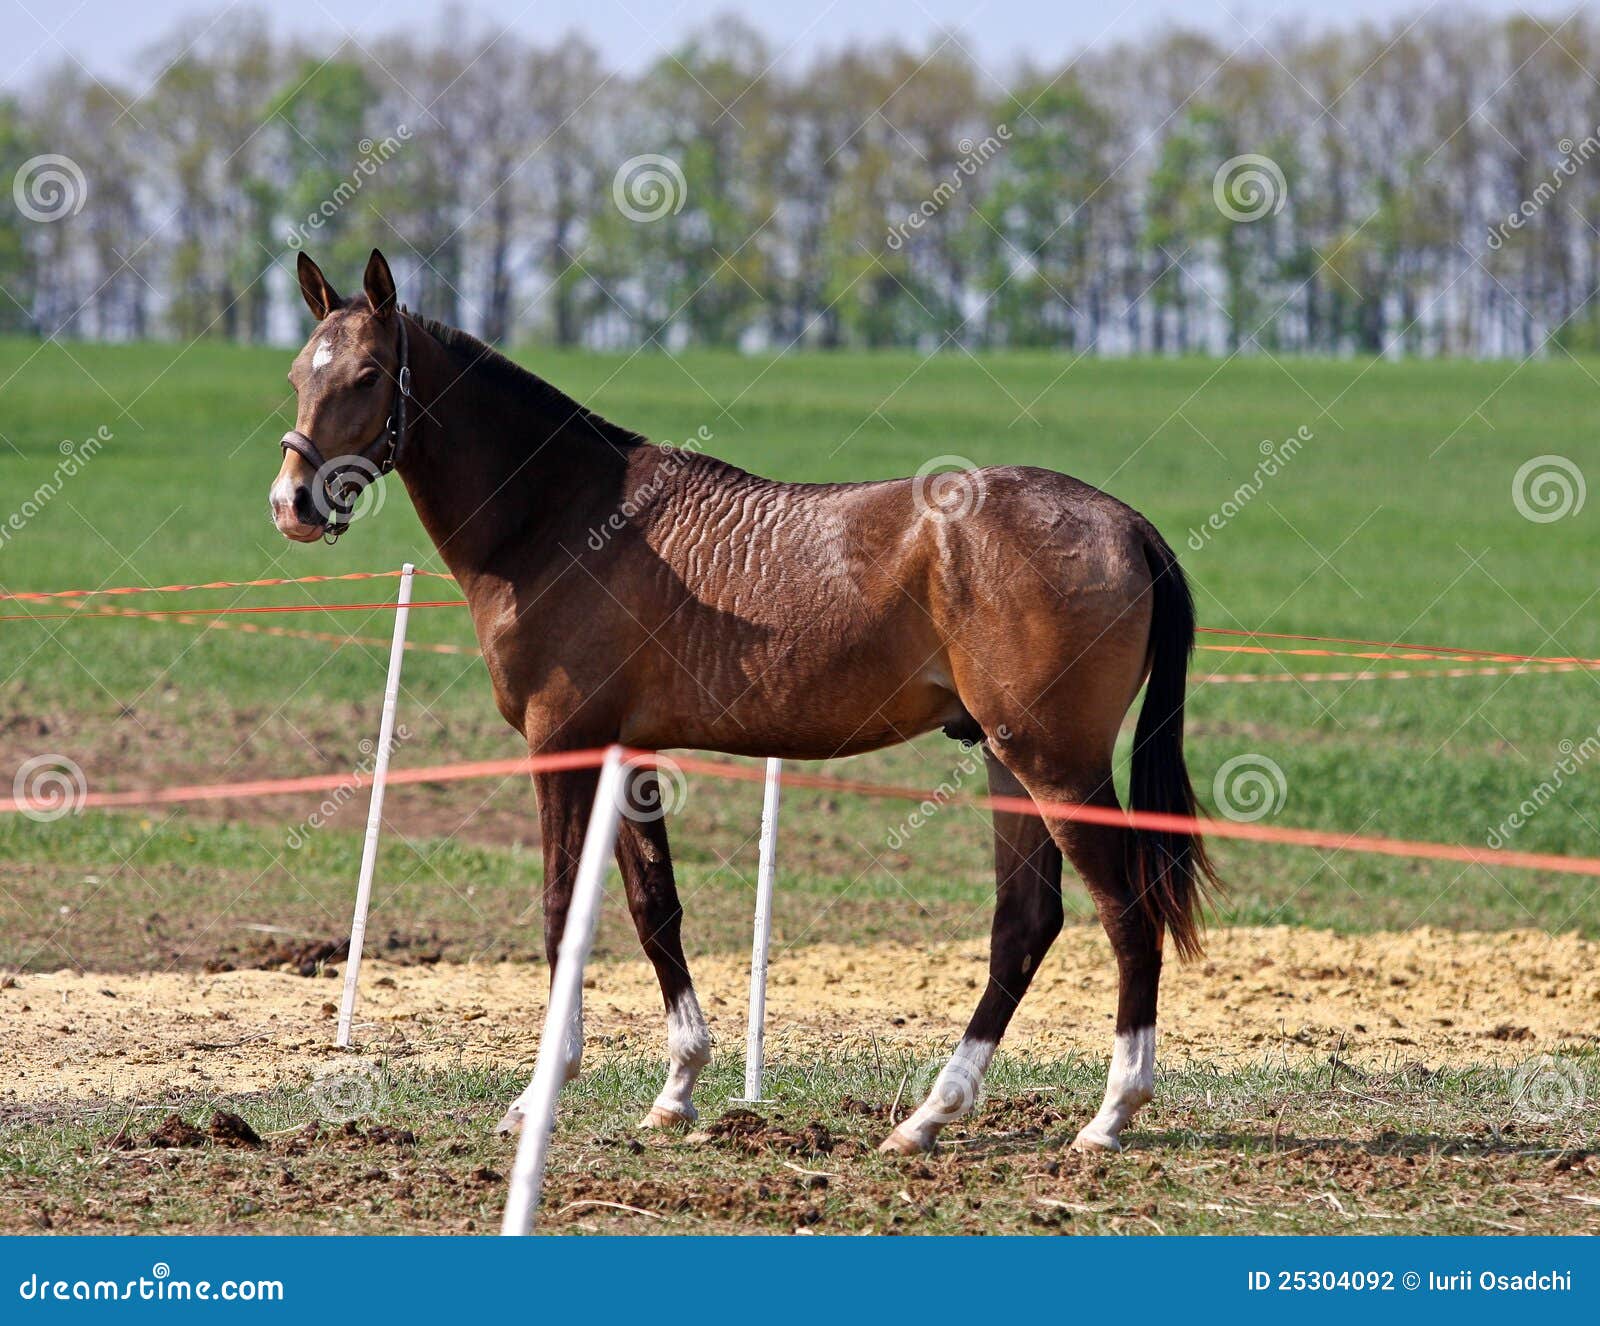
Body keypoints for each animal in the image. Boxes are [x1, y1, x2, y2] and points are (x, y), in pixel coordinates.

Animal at [269, 249, 1219, 1156]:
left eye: (365, 375)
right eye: (296, 373)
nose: (292, 505)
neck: (564, 516)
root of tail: (1127, 524)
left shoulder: (562, 742)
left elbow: (560, 911)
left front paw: (537, 1097)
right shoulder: (624, 750)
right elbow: (655, 909)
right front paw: (677, 1089)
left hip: (1055, 765)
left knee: (1125, 917)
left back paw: (1109, 1116)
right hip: (1004, 758)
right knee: (1025, 925)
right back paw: (927, 1119)